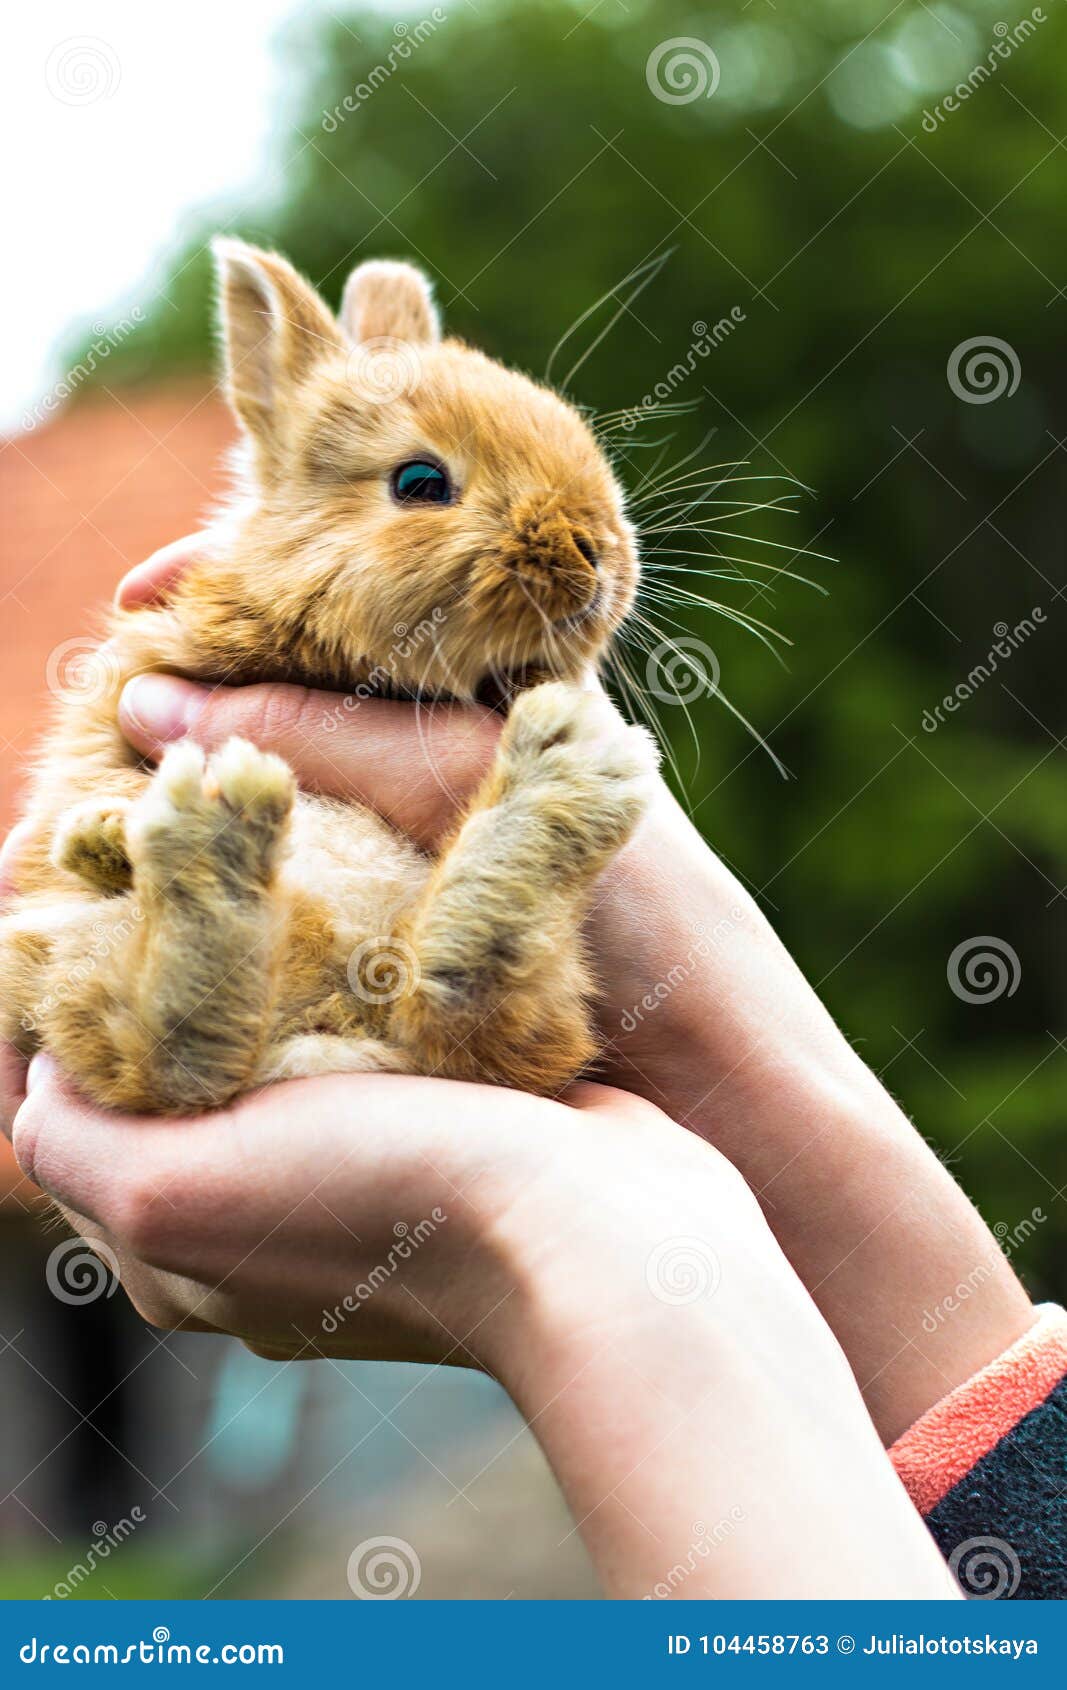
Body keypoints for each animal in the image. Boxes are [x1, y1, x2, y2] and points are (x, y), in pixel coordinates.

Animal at [0, 240, 658, 1113]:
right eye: (419, 483)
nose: (596, 549)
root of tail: (332, 1040)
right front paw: (104, 830)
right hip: (74, 958)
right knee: (169, 1050)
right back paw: (204, 841)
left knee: (461, 1001)